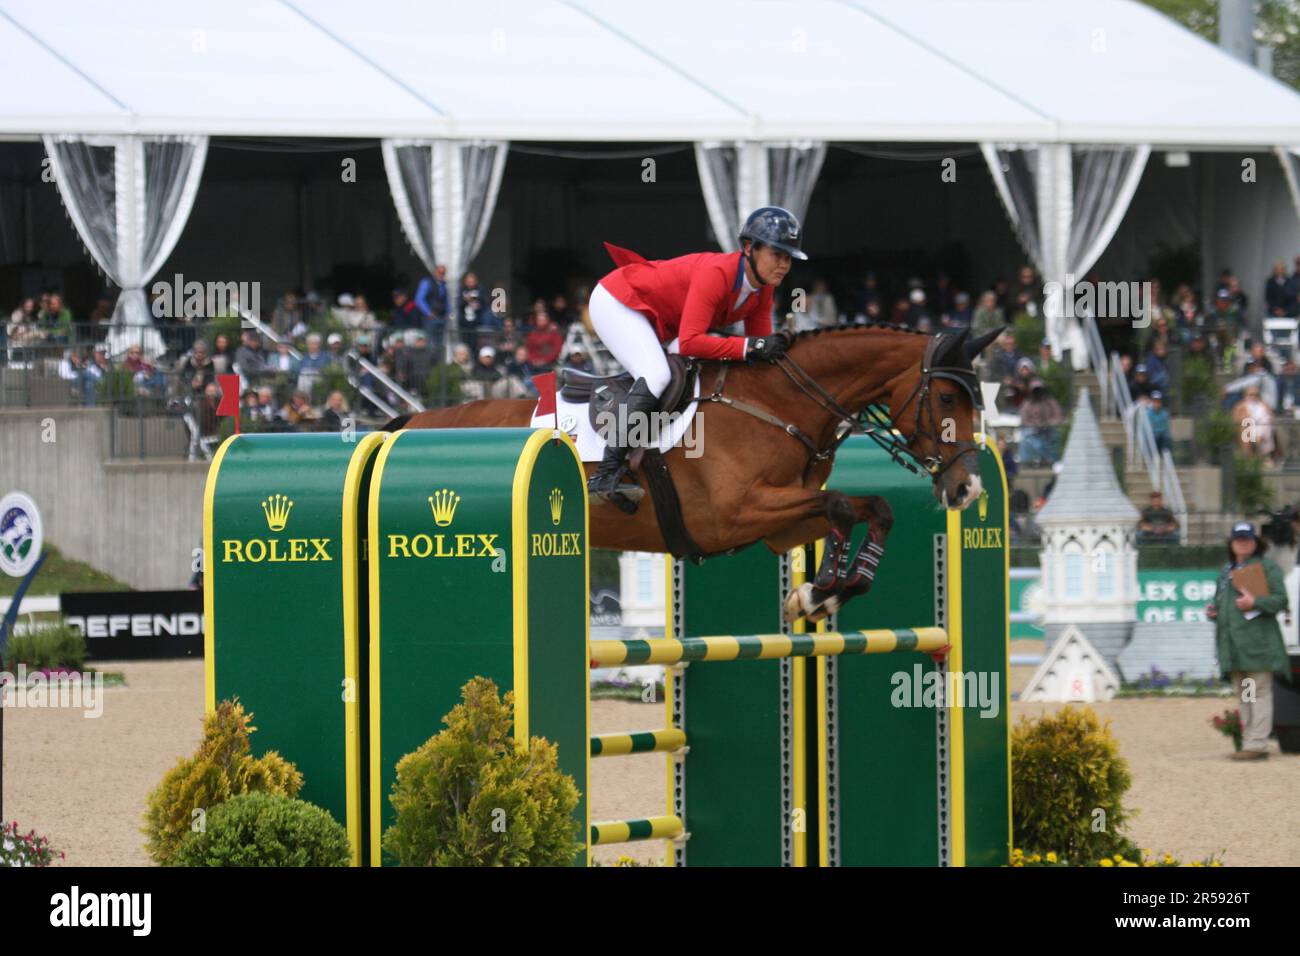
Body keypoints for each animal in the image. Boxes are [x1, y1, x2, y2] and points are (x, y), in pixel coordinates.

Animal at [386, 323, 1002, 622]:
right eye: (948, 397)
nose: (967, 488)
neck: (777, 404)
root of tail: (415, 419)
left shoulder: (779, 524)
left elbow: (874, 508)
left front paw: (822, 596)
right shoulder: (734, 515)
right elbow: (840, 505)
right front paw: (819, 588)